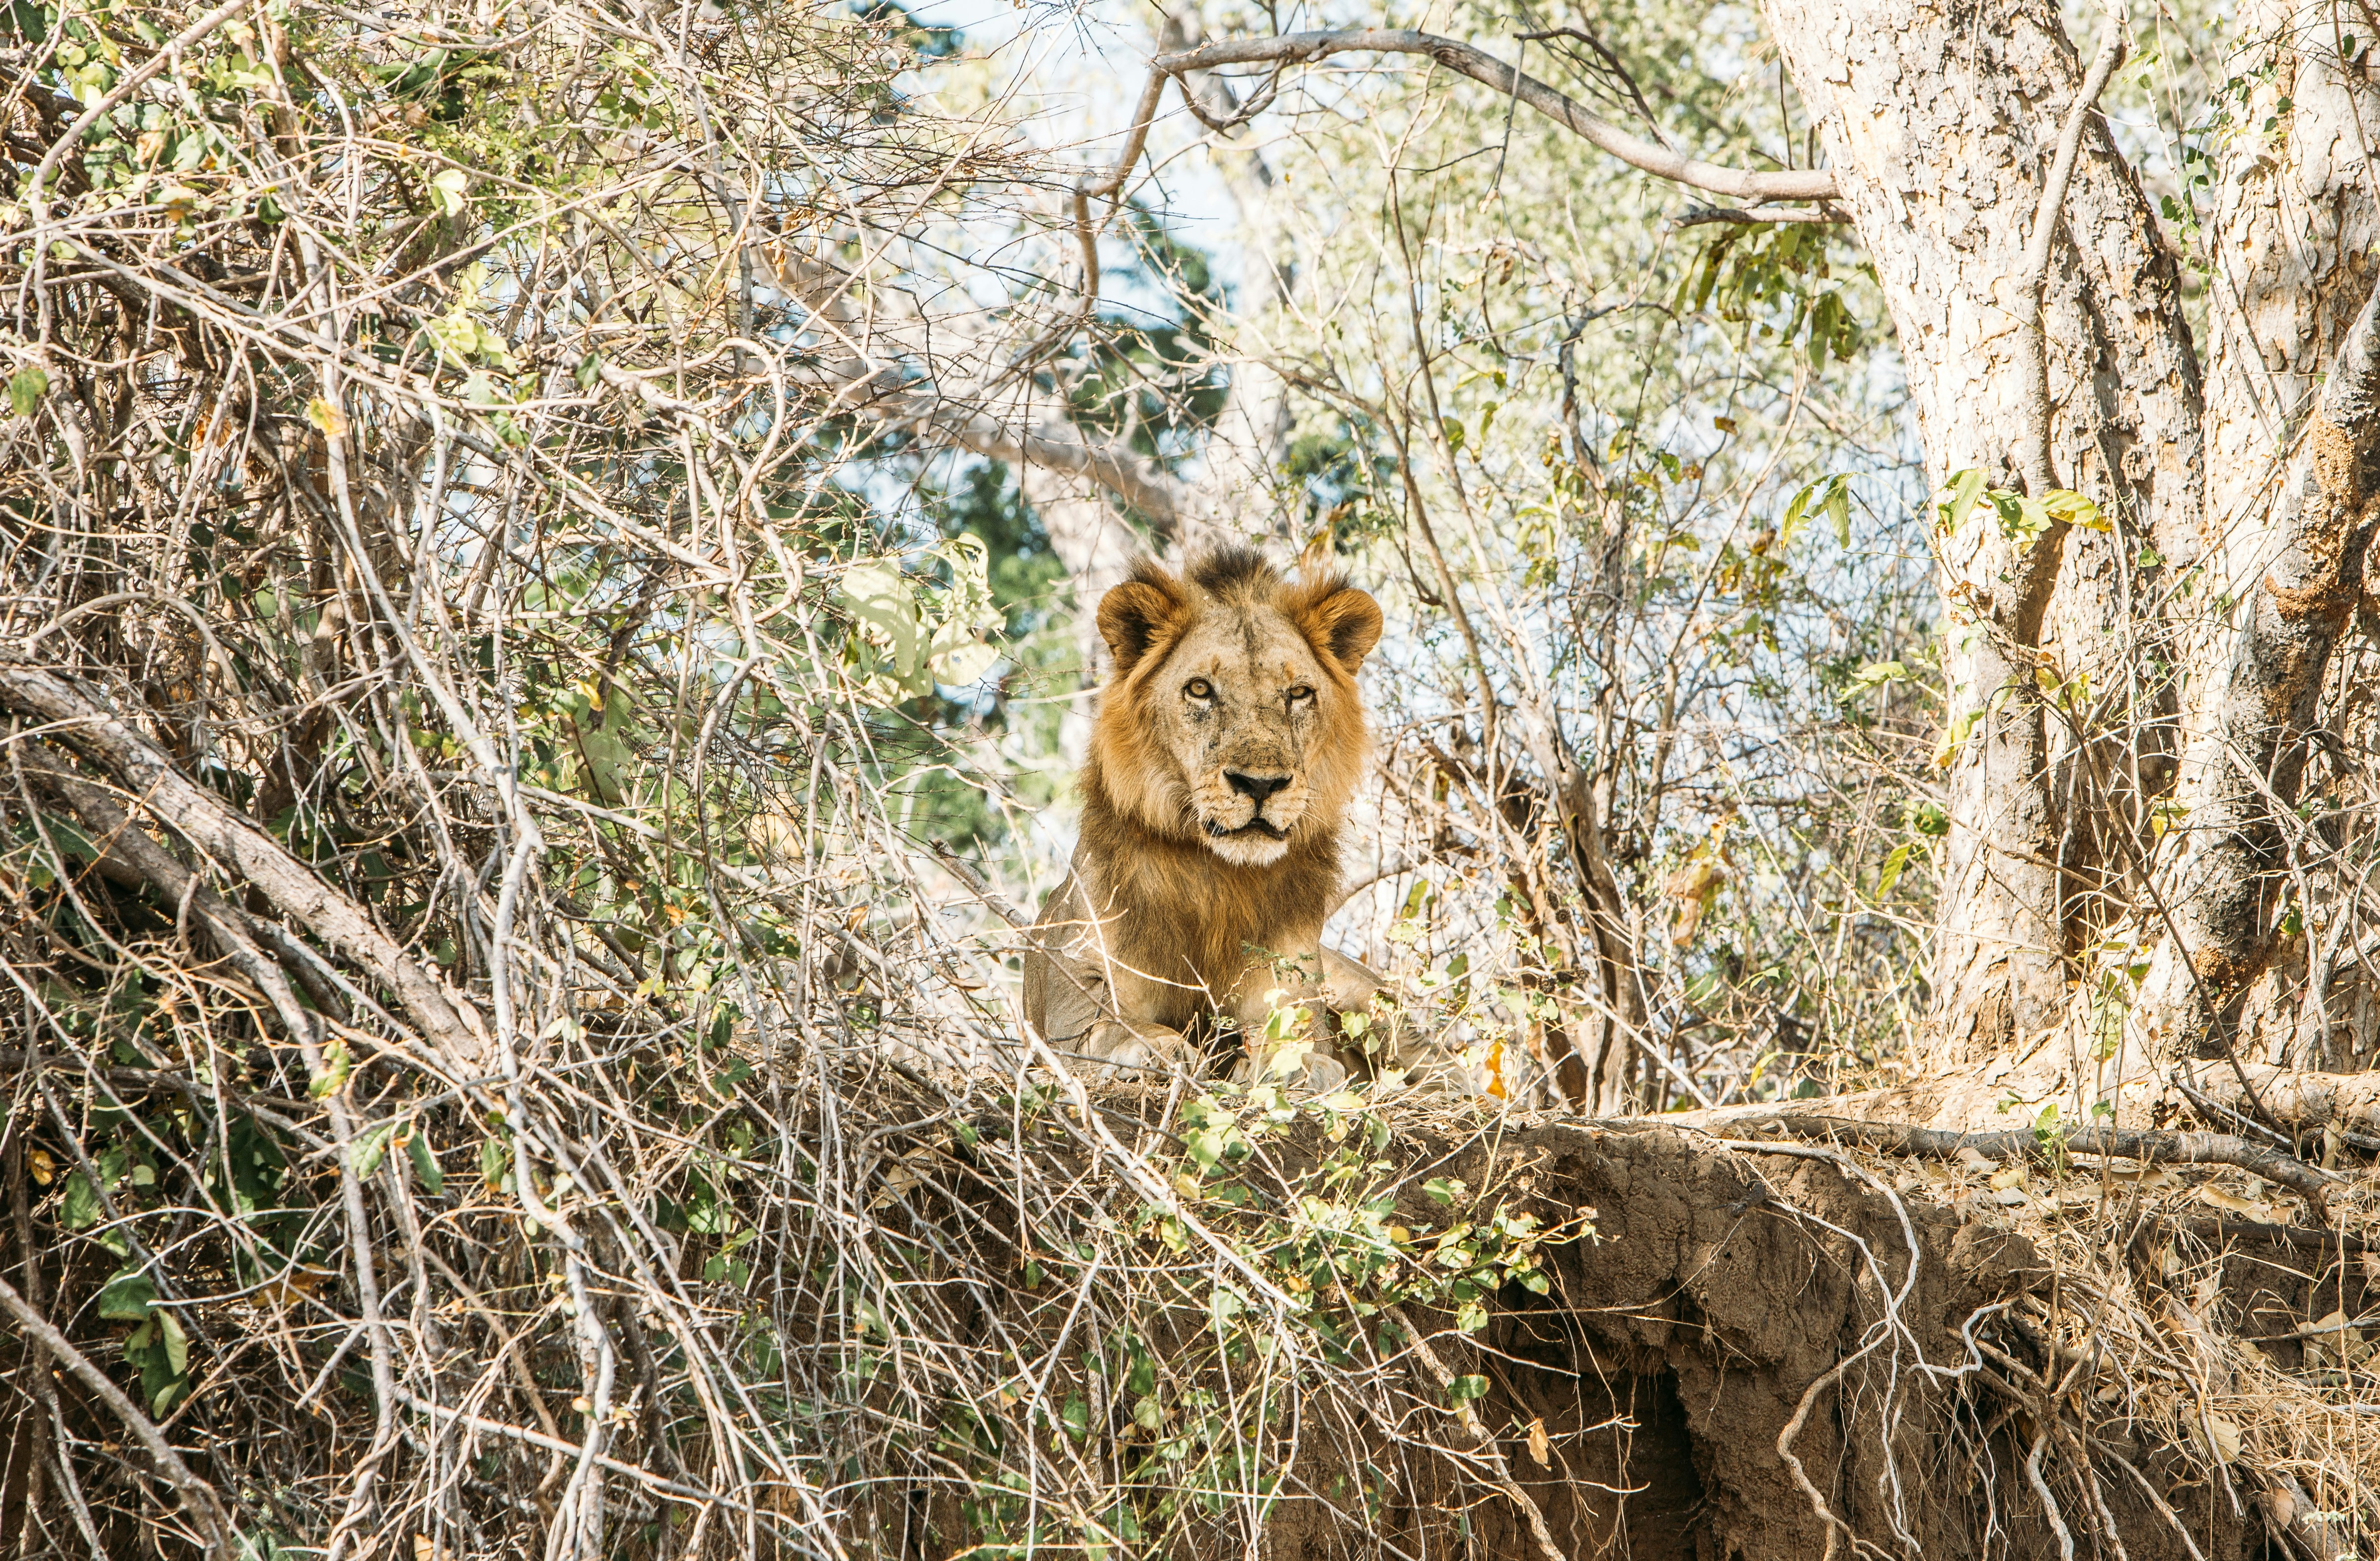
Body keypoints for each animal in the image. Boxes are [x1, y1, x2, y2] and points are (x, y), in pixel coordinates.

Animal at [1023, 546, 1386, 1087]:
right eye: (1199, 689)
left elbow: (1303, 1041)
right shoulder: (1075, 991)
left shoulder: (1294, 989)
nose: (1260, 785)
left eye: (1298, 693)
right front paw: (1156, 1048)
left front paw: (1297, 1067)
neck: (1219, 877)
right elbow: (1109, 1026)